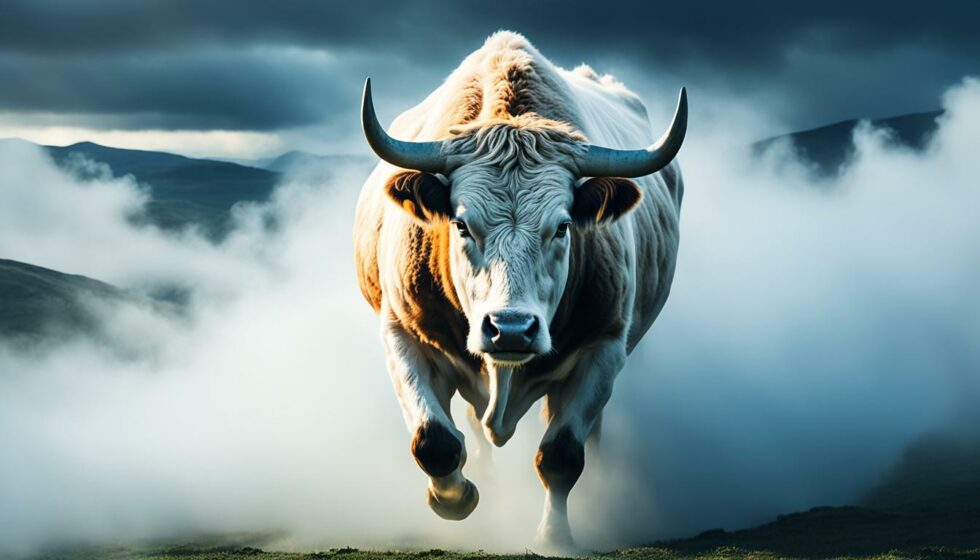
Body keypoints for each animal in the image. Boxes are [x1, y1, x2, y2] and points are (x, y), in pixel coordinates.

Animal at [353, 31, 685, 552]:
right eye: (461, 224)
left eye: (563, 226)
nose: (511, 329)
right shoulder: (402, 335)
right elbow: (434, 440)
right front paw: (455, 499)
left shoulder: (604, 347)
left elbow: (562, 455)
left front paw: (555, 537)